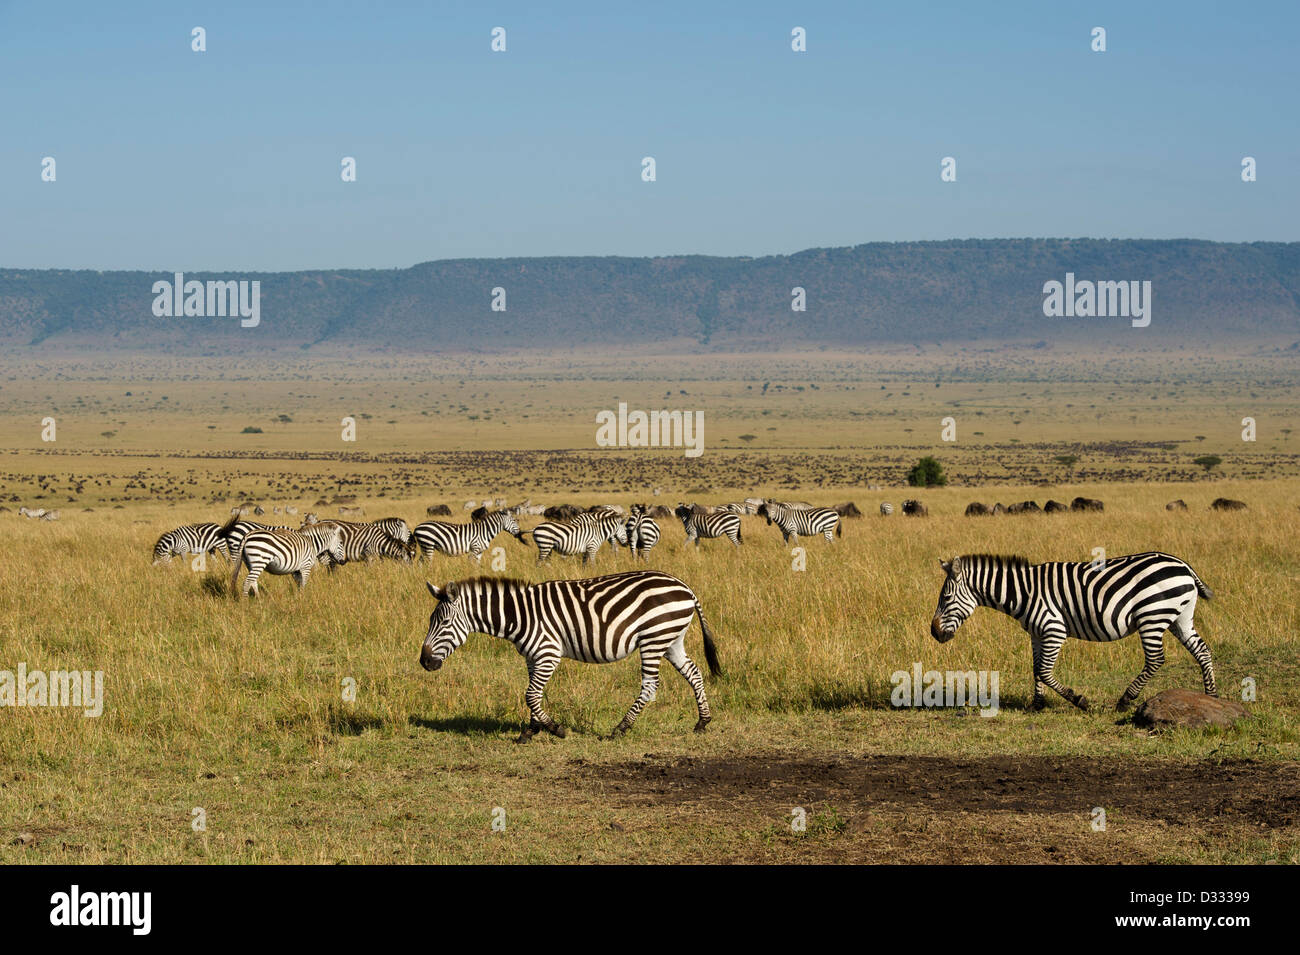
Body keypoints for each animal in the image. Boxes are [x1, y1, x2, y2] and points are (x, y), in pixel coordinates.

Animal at [418, 571, 722, 740]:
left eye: (444, 623)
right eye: (430, 621)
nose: (425, 661)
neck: (520, 616)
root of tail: (686, 588)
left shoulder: (548, 653)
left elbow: (530, 694)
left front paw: (556, 729)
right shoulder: (532, 657)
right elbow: (534, 694)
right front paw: (531, 730)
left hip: (653, 638)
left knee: (650, 686)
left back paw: (620, 728)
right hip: (671, 639)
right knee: (694, 673)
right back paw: (702, 722)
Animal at [930, 552, 1217, 712]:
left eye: (946, 598)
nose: (934, 633)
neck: (1024, 593)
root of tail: (1184, 566)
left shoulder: (1054, 629)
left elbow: (1045, 671)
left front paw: (1079, 700)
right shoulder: (1036, 633)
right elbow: (1036, 669)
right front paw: (1037, 705)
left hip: (1152, 616)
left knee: (1156, 659)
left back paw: (1125, 700)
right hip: (1180, 617)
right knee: (1202, 651)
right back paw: (1212, 696)